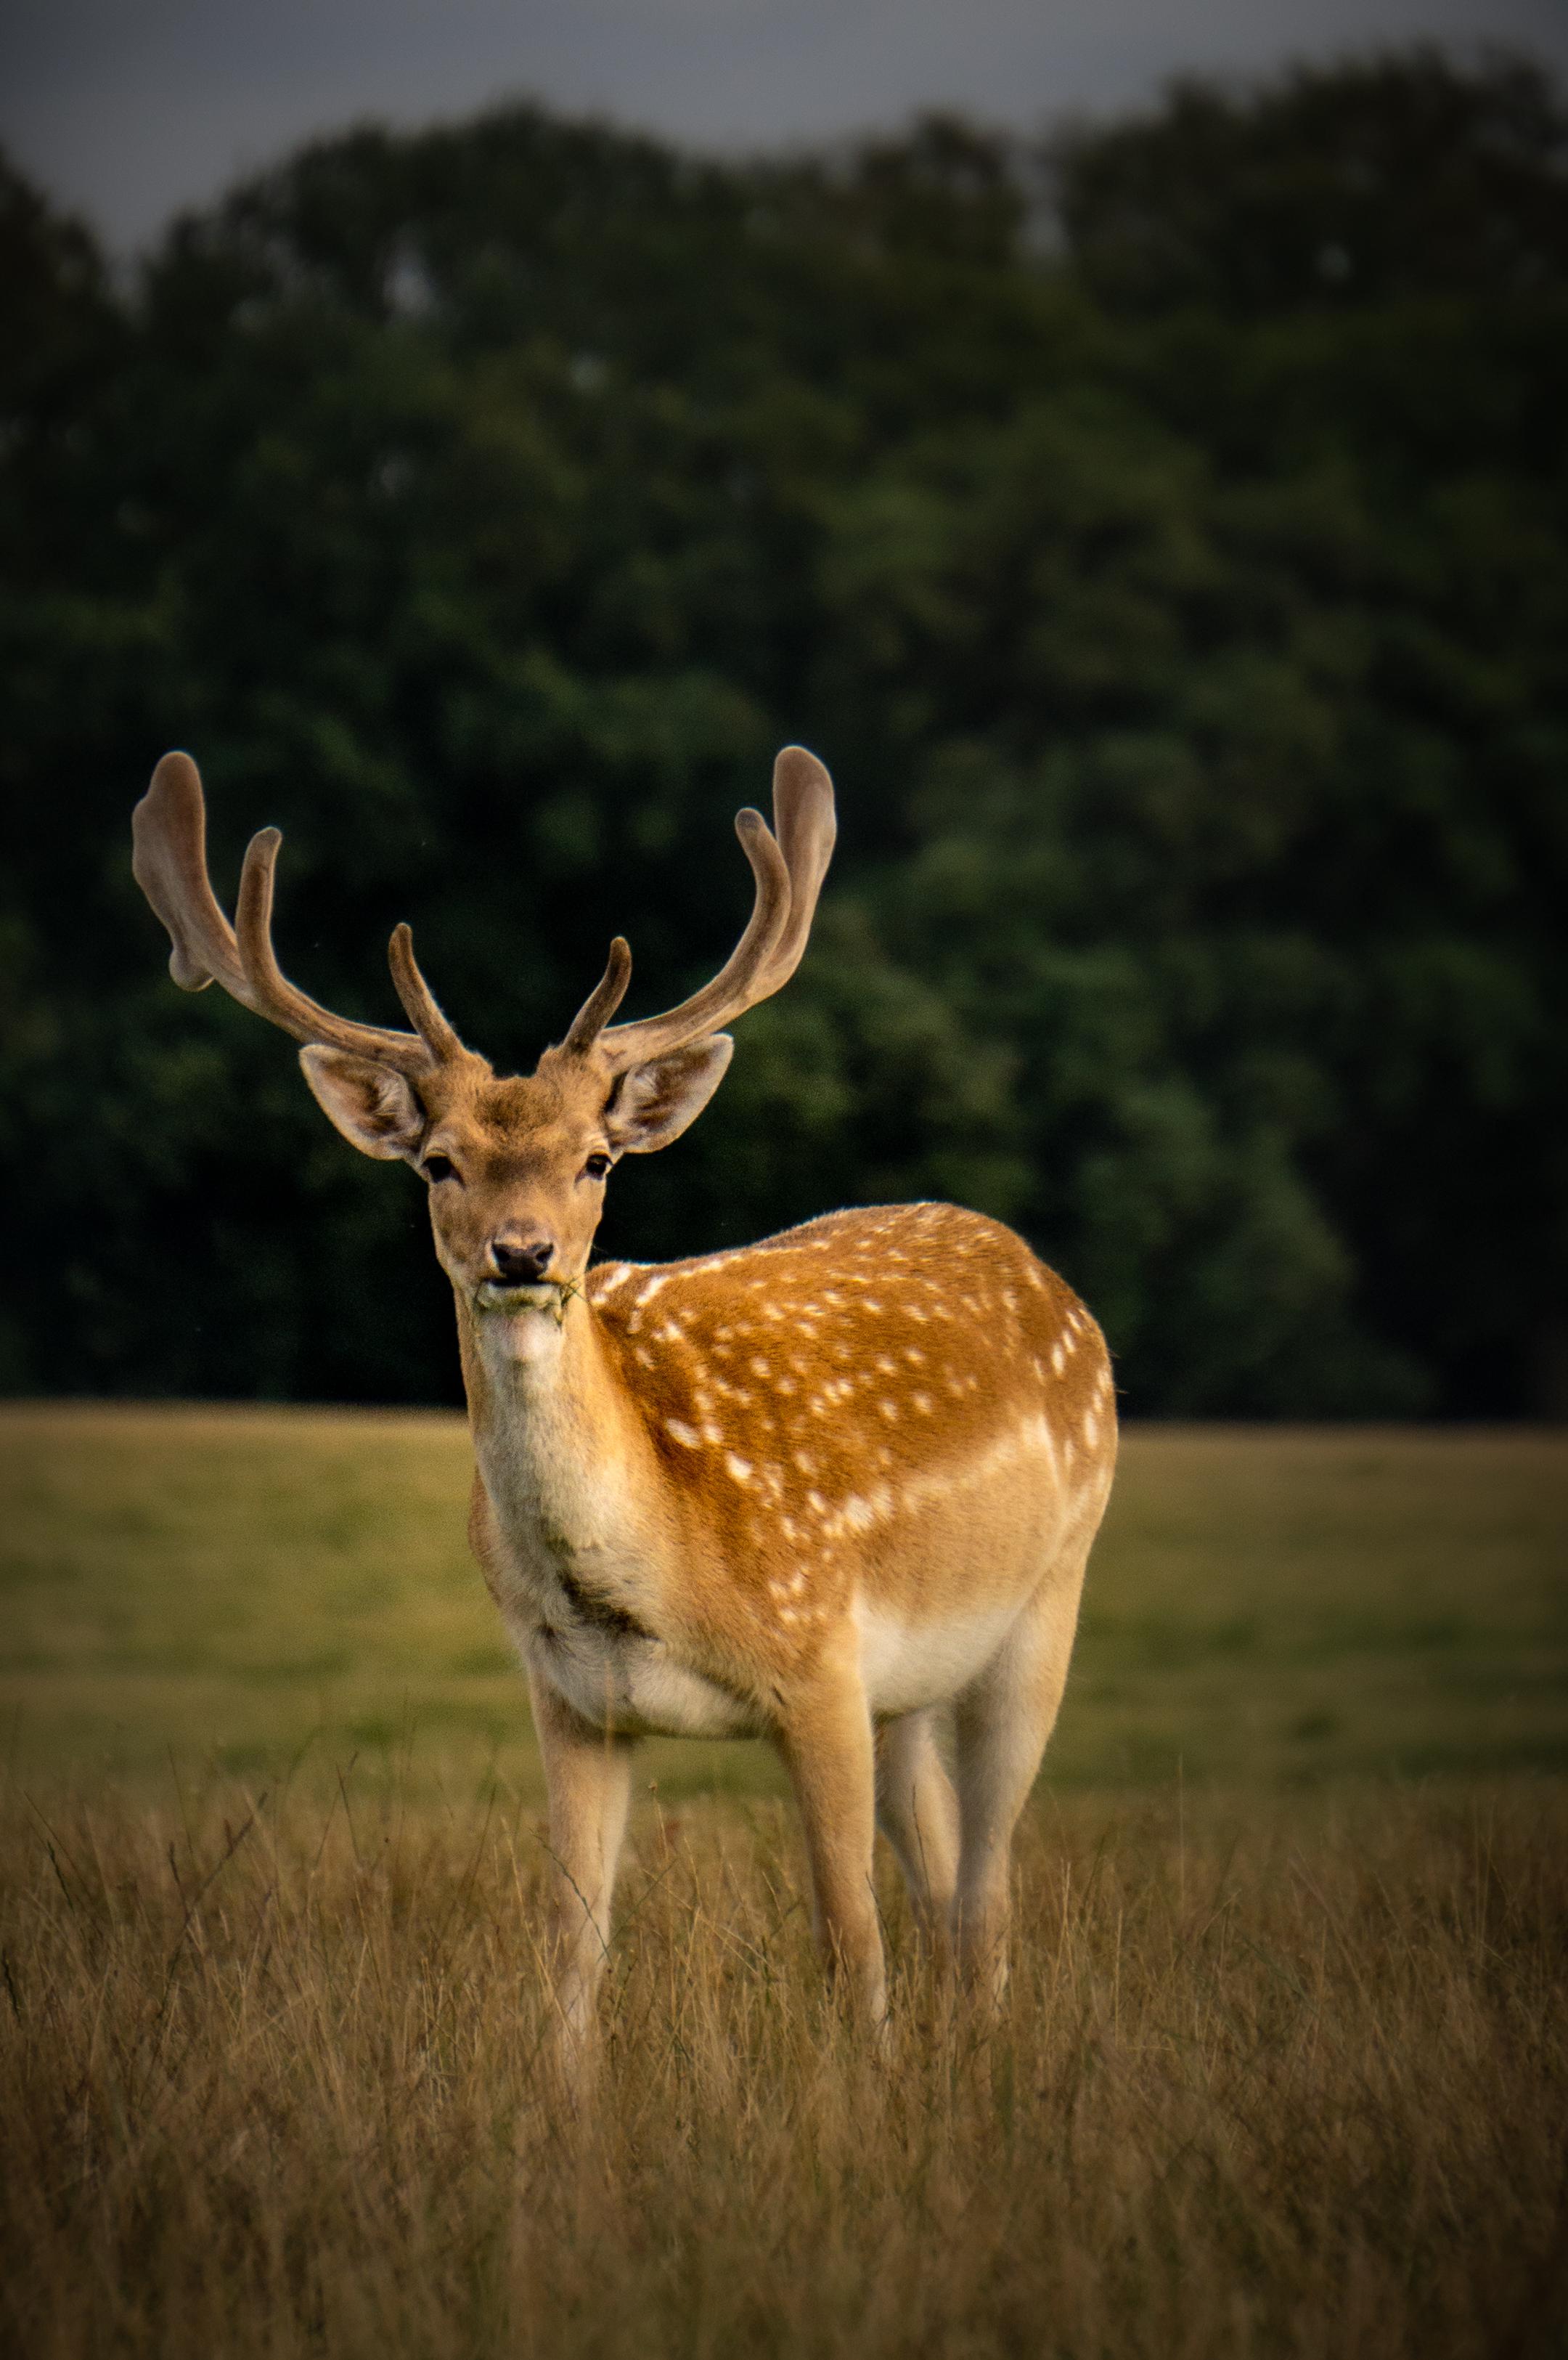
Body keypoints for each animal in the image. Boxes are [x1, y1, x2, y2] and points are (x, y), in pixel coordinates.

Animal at [131, 743, 1117, 2058]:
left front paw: (863, 2097)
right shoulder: (572, 1700)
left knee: (986, 1885)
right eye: (438, 1162)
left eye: (595, 1159)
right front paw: (563, 2104)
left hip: (1047, 1592)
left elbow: (848, 1940)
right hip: (913, 1683)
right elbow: (570, 1950)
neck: (648, 1568)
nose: (522, 1250)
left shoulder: (818, 1660)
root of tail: (1044, 1273)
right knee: (948, 1868)